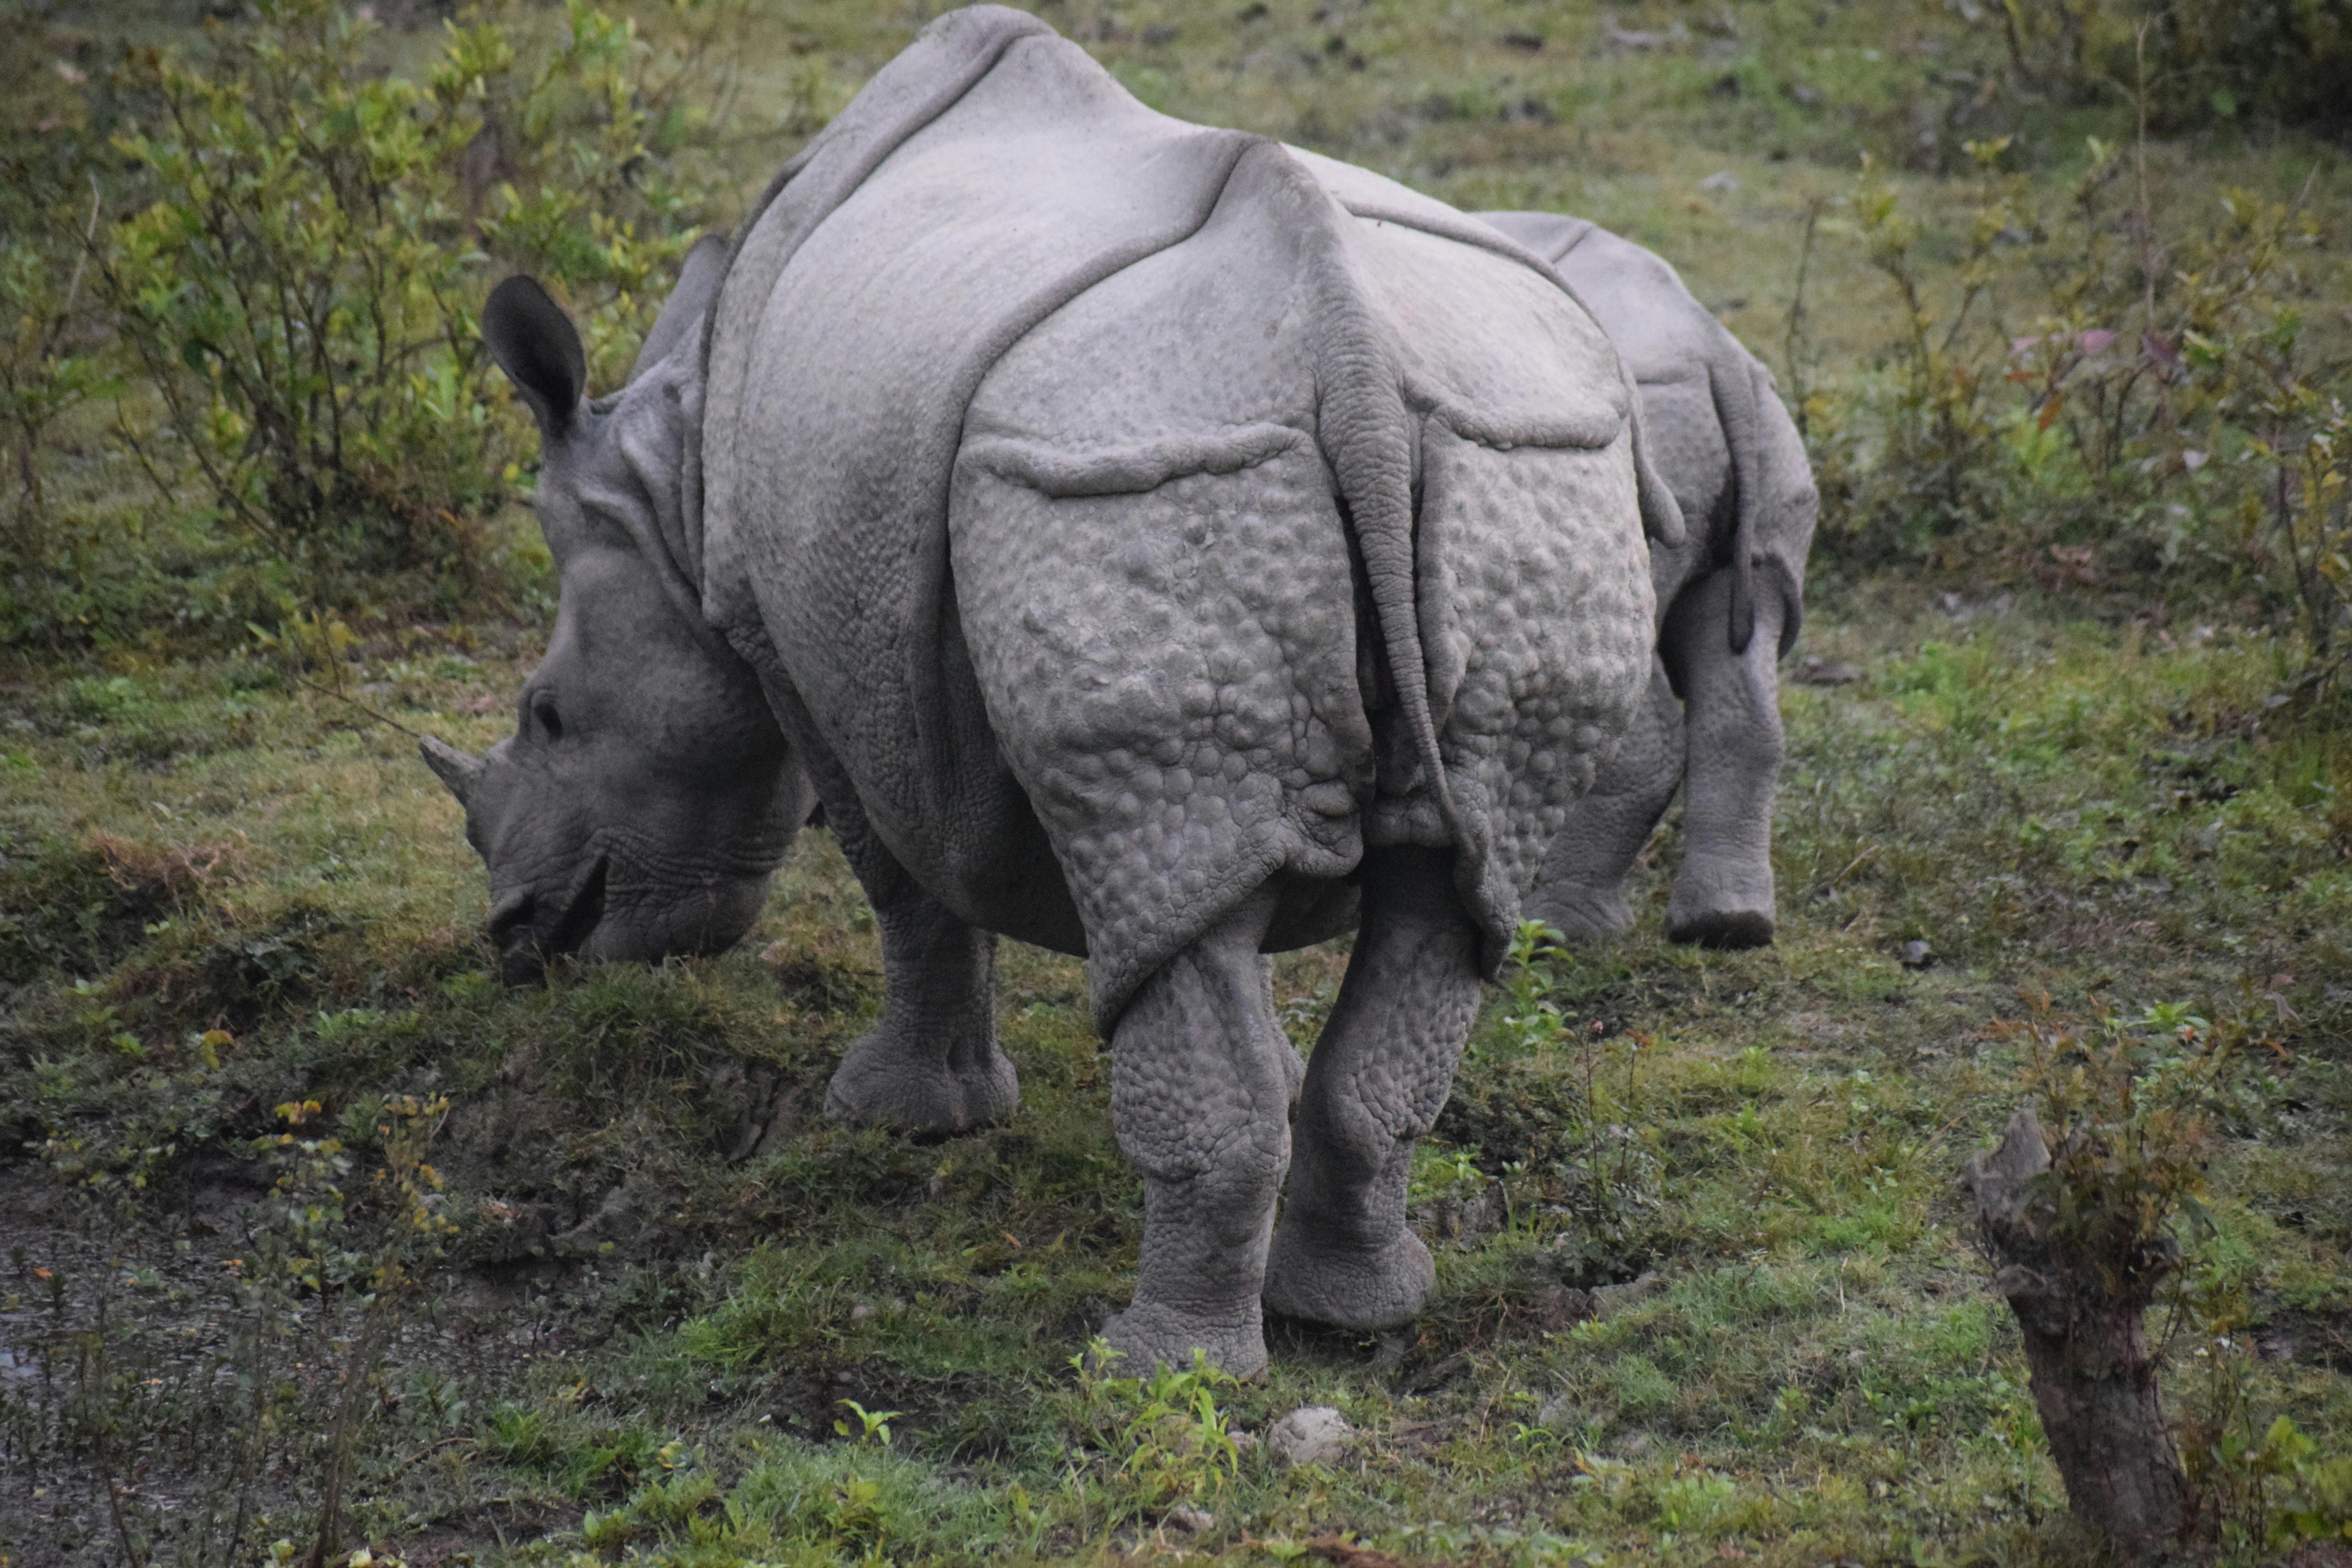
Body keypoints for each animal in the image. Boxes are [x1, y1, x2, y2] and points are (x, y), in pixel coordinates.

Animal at [419, 5, 1684, 1375]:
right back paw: (1359, 1313)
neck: (672, 490)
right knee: (1442, 900)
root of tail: (1350, 361)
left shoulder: (787, 642)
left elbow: (904, 886)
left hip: (1131, 471)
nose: (516, 940)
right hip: (1519, 461)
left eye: (549, 716)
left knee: (1184, 857)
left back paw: (1144, 1370)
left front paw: (900, 1118)